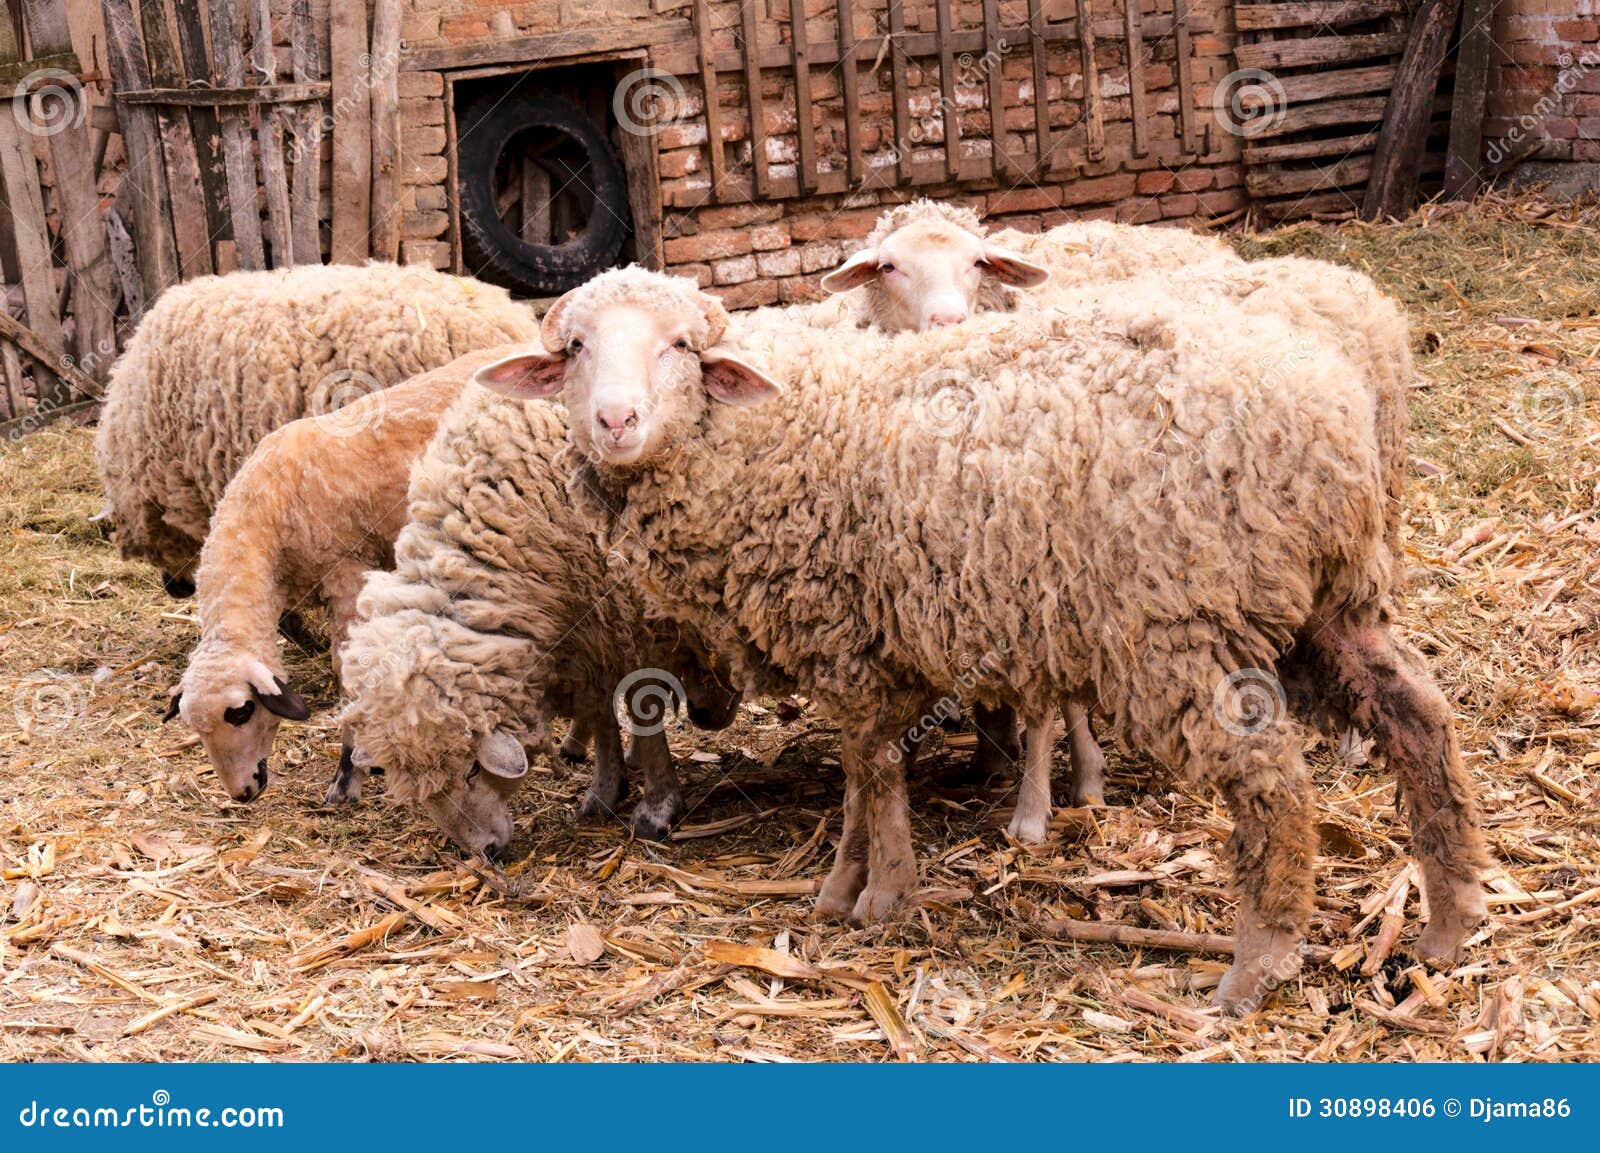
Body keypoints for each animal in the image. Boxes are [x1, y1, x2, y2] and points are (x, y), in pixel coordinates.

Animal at [171, 349, 510, 808]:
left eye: (240, 712)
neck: (265, 512)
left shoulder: (347, 571)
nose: (242, 792)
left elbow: (348, 670)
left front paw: (348, 773)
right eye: (194, 725)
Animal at [337, 379, 743, 858]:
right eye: (425, 796)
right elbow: (602, 713)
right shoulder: (589, 638)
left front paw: (657, 805)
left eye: (472, 770)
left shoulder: (632, 621)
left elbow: (641, 710)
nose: (487, 851)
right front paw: (607, 789)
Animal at [473, 267, 1489, 1012]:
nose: (615, 420)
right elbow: (859, 775)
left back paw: (1256, 964)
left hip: (1177, 622)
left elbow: (875, 774)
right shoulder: (864, 647)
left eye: (680, 345)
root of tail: (1329, 409)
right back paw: (1448, 921)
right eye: (574, 348)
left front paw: (881, 897)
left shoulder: (847, 637)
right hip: (1334, 600)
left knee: (1272, 781)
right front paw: (843, 890)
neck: (770, 430)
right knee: (1418, 717)